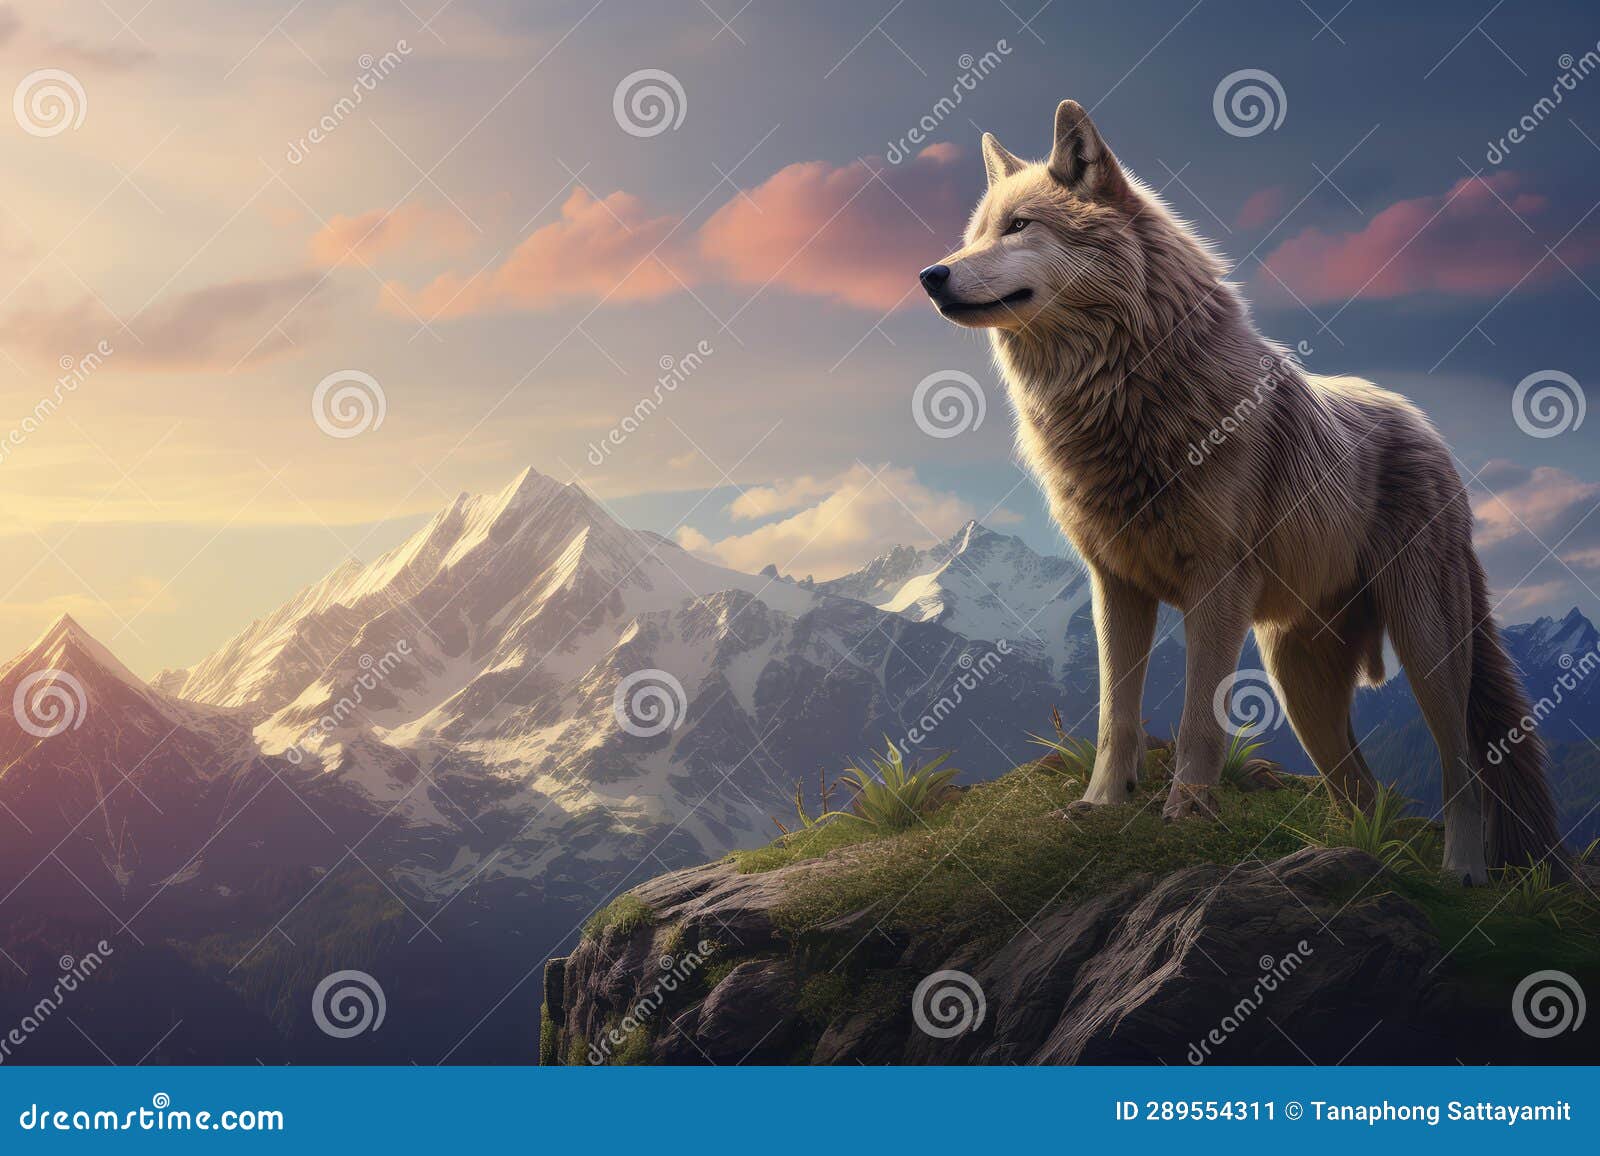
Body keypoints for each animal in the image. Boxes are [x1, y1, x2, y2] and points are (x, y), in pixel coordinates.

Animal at [919, 99, 1561, 884]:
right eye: (973, 236)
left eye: (1019, 227)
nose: (931, 275)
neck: (1122, 394)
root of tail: (1424, 425)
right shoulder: (1113, 586)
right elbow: (1114, 716)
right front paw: (1099, 806)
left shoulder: (1216, 584)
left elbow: (1199, 718)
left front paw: (1187, 813)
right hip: (1298, 680)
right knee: (1361, 786)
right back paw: (1356, 858)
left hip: (1427, 649)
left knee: (1462, 767)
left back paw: (1462, 873)